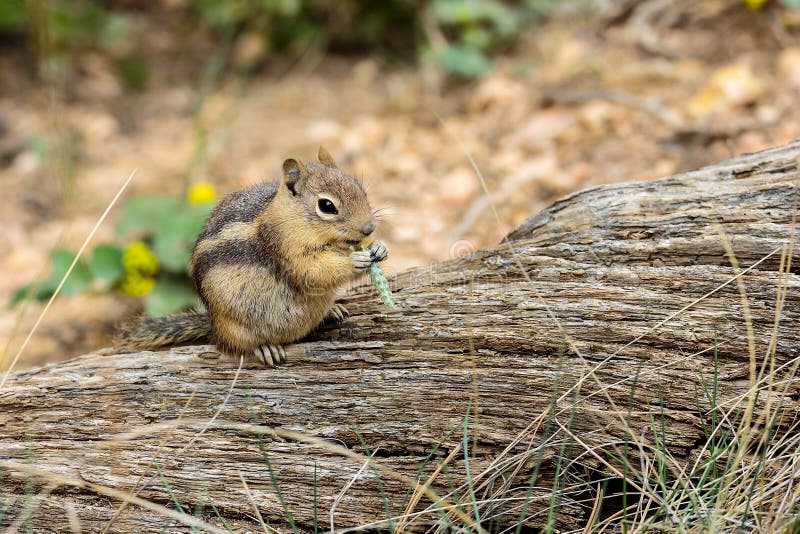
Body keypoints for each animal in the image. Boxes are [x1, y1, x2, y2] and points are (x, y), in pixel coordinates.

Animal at [115, 147, 388, 366]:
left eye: (359, 187)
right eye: (327, 206)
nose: (369, 227)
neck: (291, 220)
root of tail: (215, 328)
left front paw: (379, 248)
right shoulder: (284, 249)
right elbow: (312, 272)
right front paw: (355, 261)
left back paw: (332, 310)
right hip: (234, 327)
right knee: (239, 345)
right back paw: (265, 348)